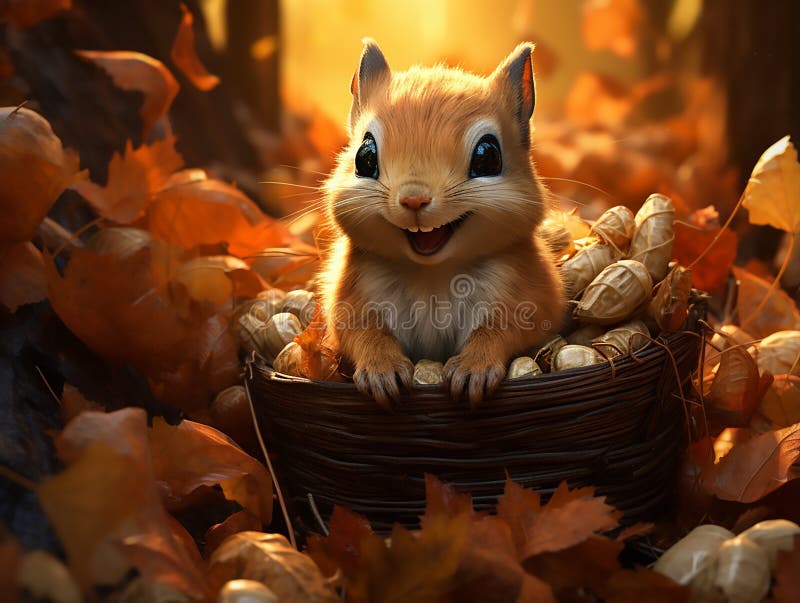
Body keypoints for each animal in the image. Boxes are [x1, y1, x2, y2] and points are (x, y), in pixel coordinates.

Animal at [318, 39, 565, 407]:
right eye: (364, 157)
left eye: (488, 156)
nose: (414, 199)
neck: (431, 273)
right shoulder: (354, 296)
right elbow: (361, 332)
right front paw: (382, 369)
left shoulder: (525, 295)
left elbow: (503, 330)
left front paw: (474, 367)